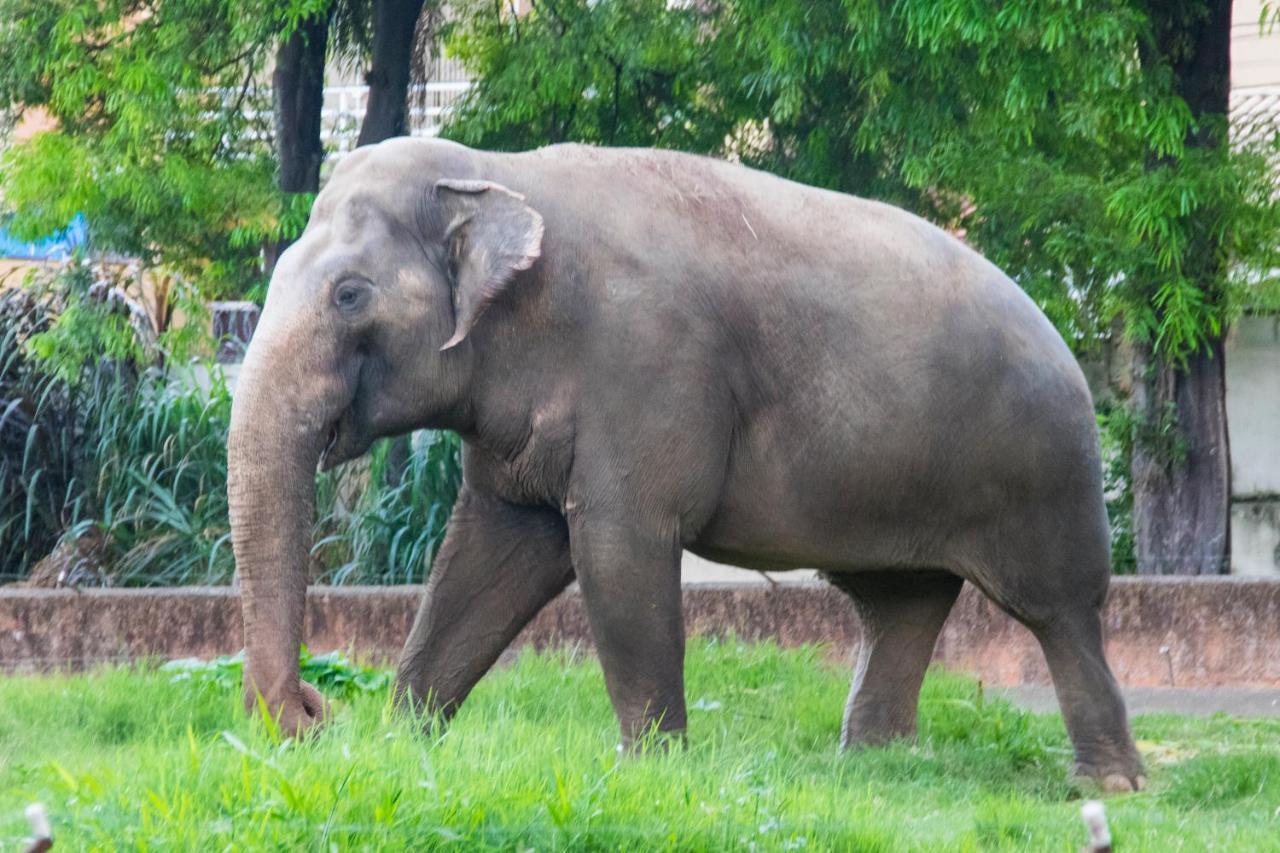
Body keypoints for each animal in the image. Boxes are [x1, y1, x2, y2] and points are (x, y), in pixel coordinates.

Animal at [225, 136, 1146, 788]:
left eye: (350, 293)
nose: (313, 711)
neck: (499, 176)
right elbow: (491, 553)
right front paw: (403, 746)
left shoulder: (645, 362)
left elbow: (616, 551)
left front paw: (649, 772)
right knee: (900, 603)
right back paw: (872, 765)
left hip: (1042, 472)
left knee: (1059, 608)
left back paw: (1110, 784)